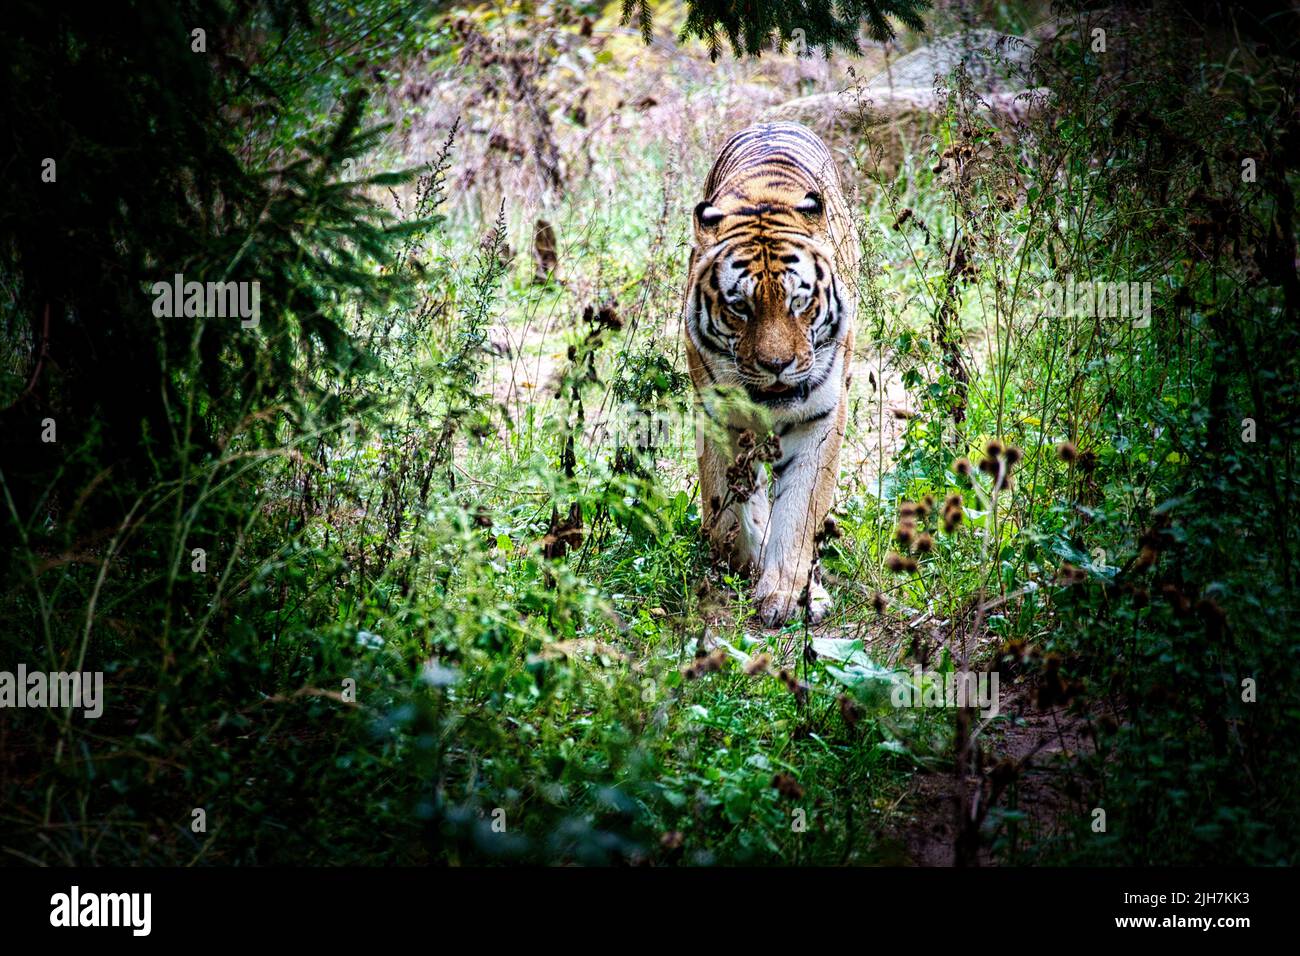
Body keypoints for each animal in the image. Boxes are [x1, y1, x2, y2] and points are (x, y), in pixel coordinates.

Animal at [683, 121, 859, 626]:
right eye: (740, 307)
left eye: (799, 302)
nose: (776, 366)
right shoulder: (717, 416)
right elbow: (727, 508)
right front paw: (745, 559)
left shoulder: (821, 420)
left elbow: (799, 511)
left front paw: (784, 593)